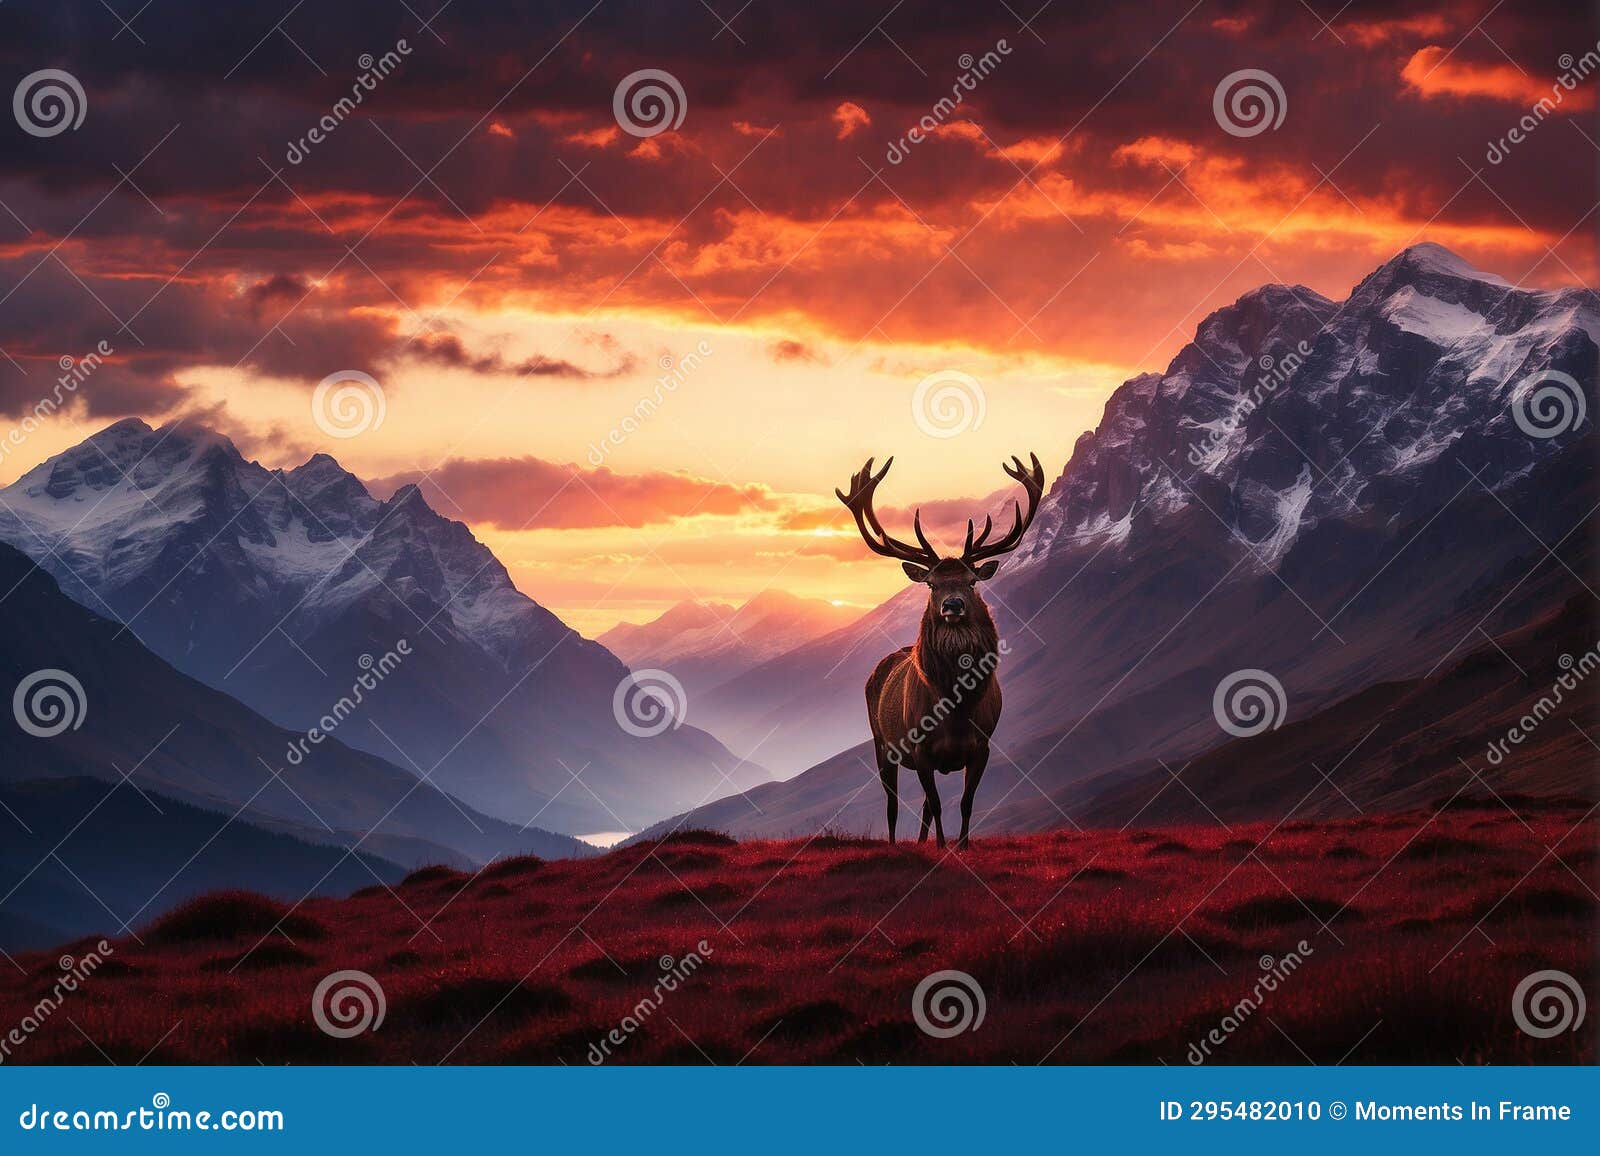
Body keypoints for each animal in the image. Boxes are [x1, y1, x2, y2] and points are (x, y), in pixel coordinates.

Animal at [836, 453, 1045, 849]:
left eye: (972, 581)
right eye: (932, 584)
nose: (953, 605)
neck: (956, 712)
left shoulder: (983, 746)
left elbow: (964, 802)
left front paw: (961, 845)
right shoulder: (919, 748)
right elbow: (934, 801)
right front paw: (944, 847)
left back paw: (921, 842)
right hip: (881, 743)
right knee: (892, 803)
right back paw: (896, 844)